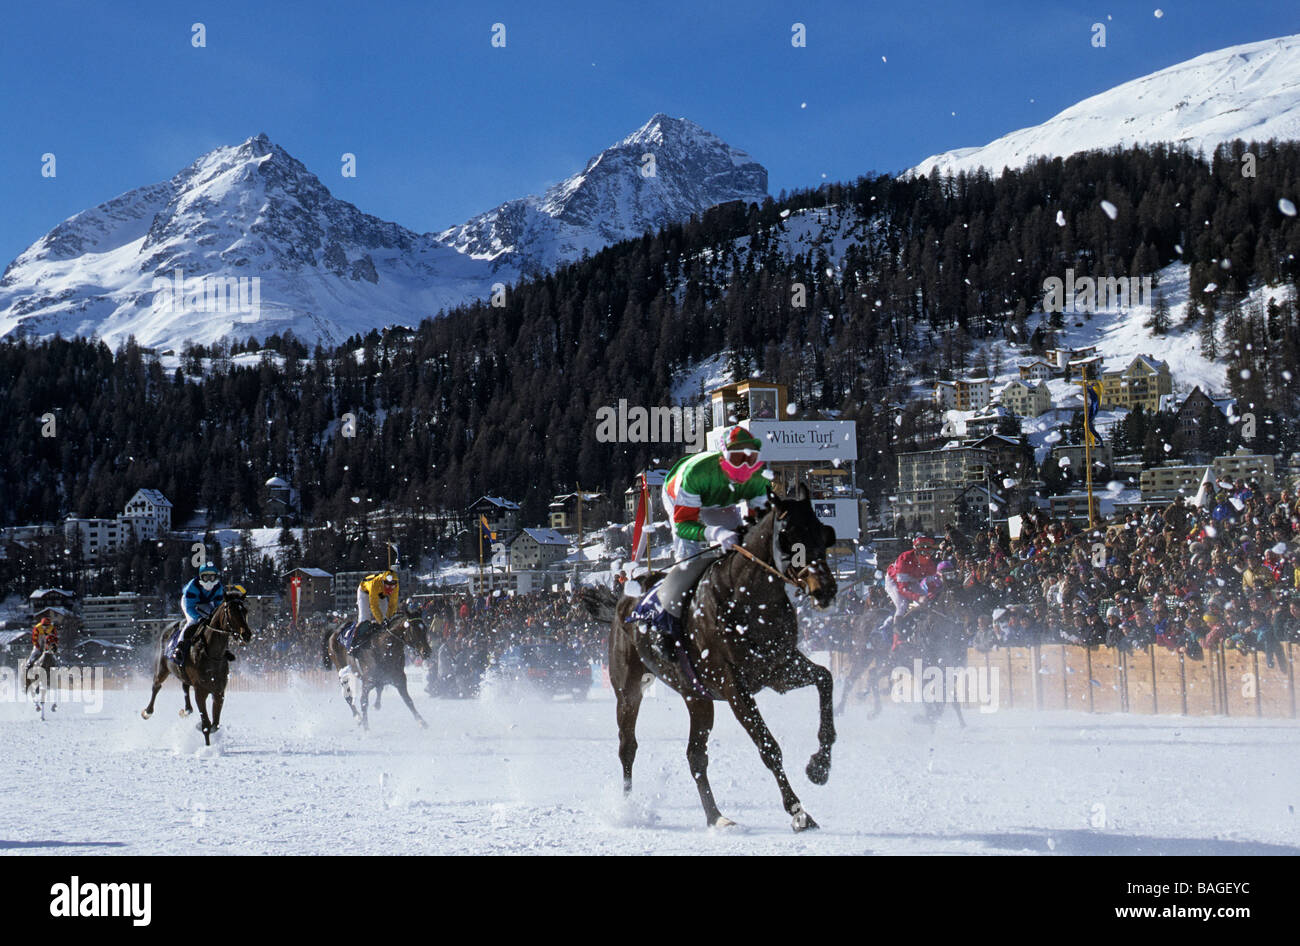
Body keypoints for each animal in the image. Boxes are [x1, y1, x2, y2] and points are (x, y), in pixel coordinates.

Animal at [142, 592, 253, 745]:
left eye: (245, 610)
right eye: (231, 611)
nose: (246, 634)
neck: (211, 654)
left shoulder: (219, 691)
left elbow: (215, 724)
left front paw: (200, 725)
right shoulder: (200, 691)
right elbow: (206, 725)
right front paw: (206, 744)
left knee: (184, 686)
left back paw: (186, 710)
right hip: (162, 667)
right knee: (156, 685)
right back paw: (147, 712)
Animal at [581, 483, 838, 831]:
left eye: (823, 532)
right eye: (788, 534)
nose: (826, 589)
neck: (748, 600)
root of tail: (626, 596)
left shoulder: (778, 669)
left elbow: (825, 678)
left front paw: (819, 766)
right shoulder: (735, 687)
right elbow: (768, 746)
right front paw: (798, 812)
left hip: (697, 697)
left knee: (695, 755)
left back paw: (716, 815)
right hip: (628, 689)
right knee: (627, 746)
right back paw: (628, 808)